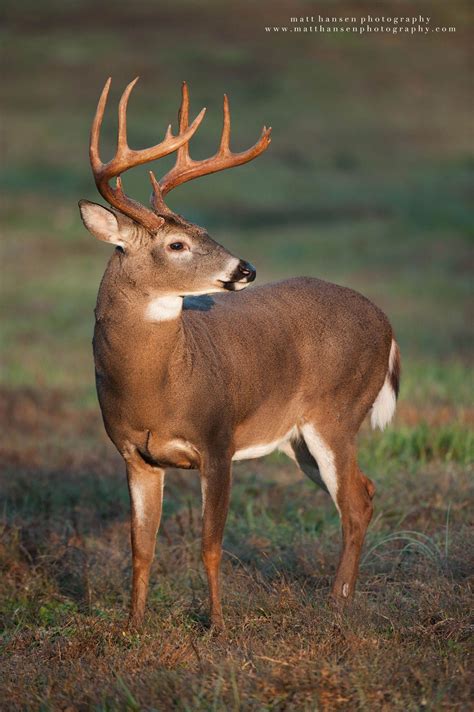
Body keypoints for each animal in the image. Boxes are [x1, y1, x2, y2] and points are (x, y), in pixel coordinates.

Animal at [79, 77, 400, 630]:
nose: (245, 269)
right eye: (179, 244)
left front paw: (218, 625)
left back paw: (337, 603)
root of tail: (386, 323)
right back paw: (342, 596)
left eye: (206, 231)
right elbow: (141, 547)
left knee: (356, 500)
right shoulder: (134, 453)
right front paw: (132, 626)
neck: (157, 387)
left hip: (336, 413)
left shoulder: (218, 438)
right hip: (298, 439)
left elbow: (210, 545)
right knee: (365, 490)